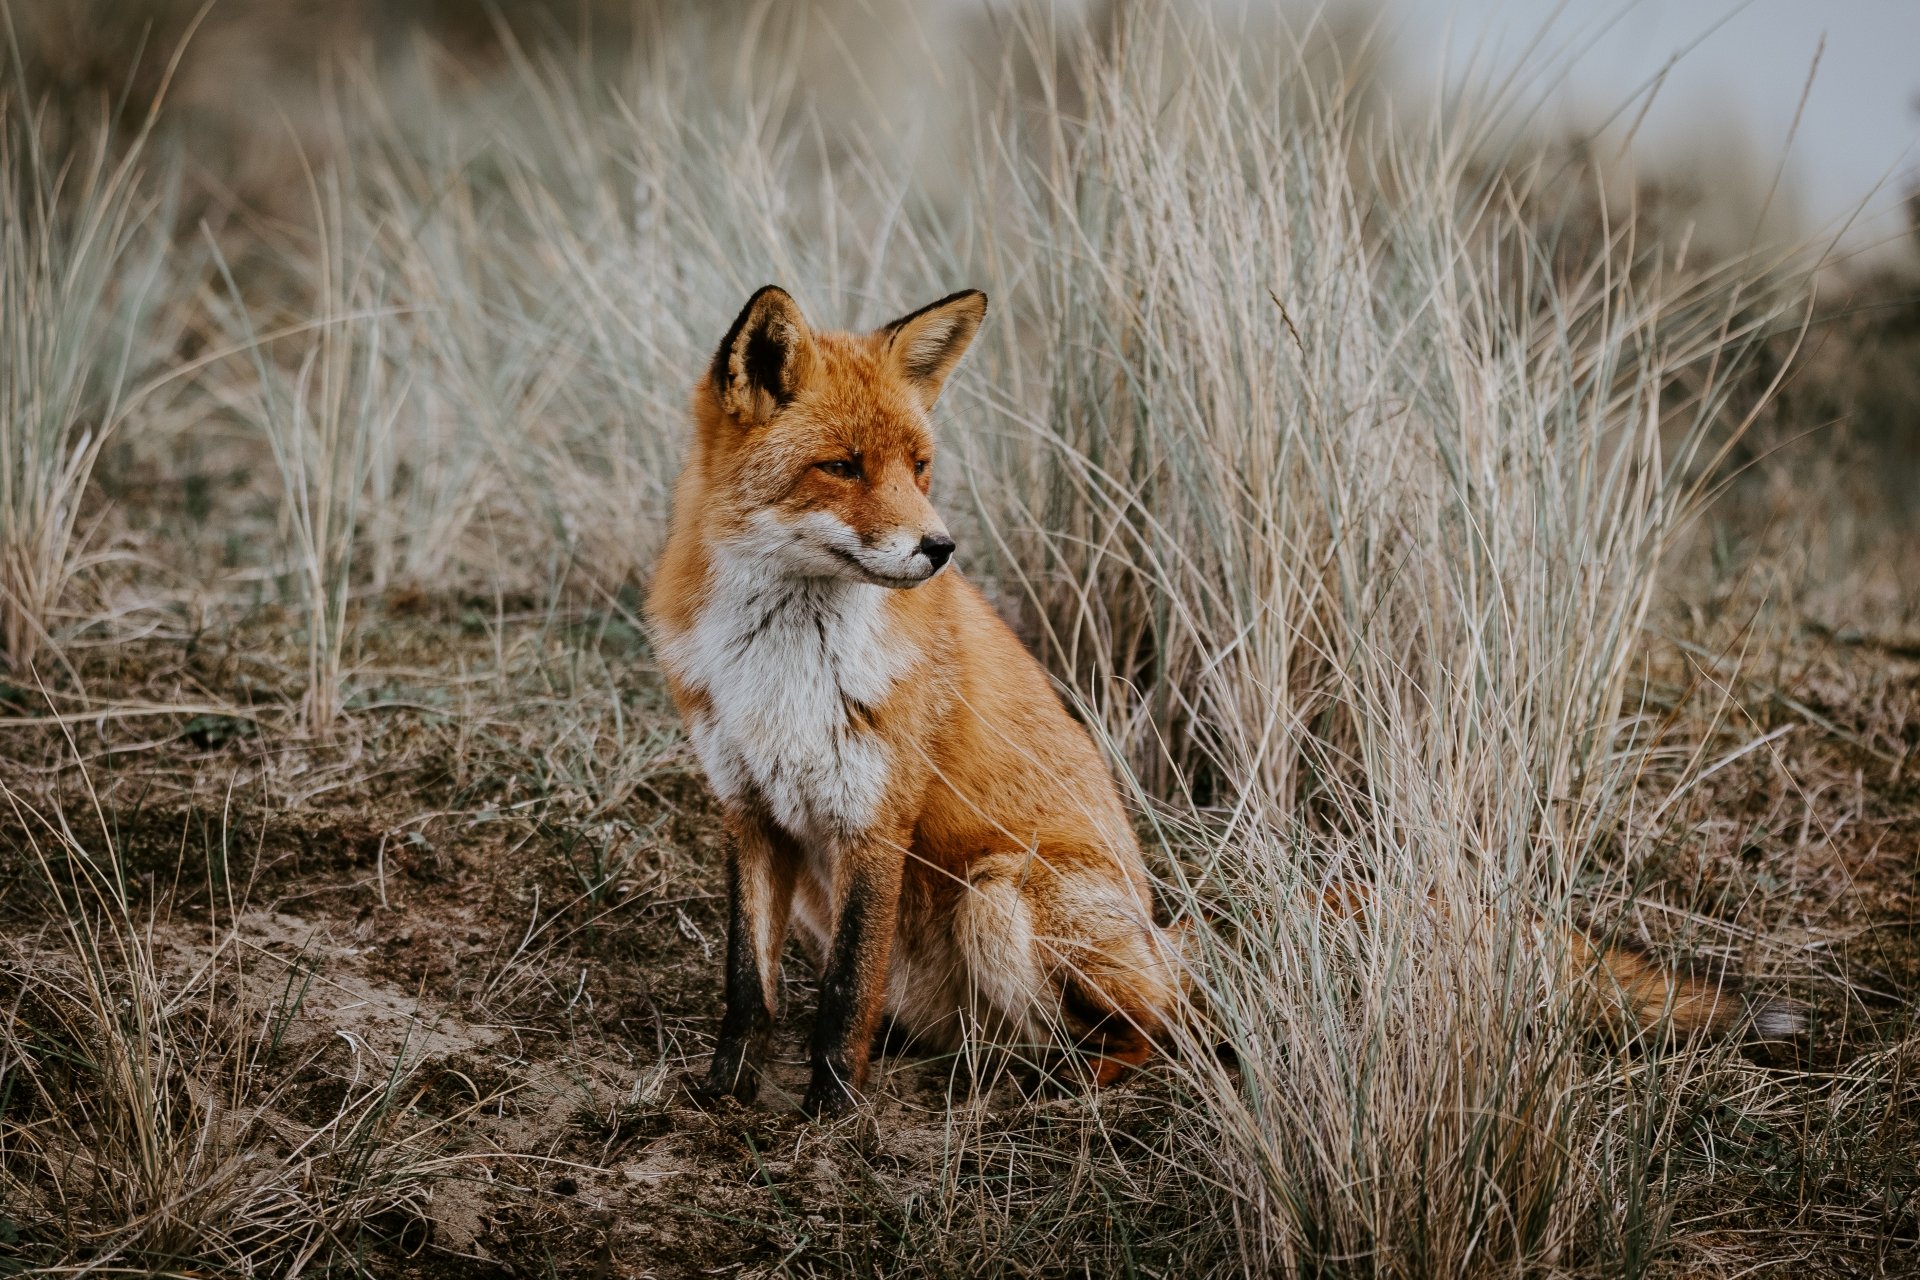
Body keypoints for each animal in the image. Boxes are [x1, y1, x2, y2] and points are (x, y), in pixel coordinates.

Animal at [645, 284, 1802, 1119]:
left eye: (920, 465)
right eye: (842, 466)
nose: (939, 548)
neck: (782, 659)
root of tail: (1169, 932)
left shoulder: (874, 817)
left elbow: (842, 993)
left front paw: (829, 1114)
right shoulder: (749, 808)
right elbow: (749, 988)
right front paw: (722, 1097)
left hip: (1004, 892)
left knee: (1173, 1034)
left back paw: (1059, 1087)